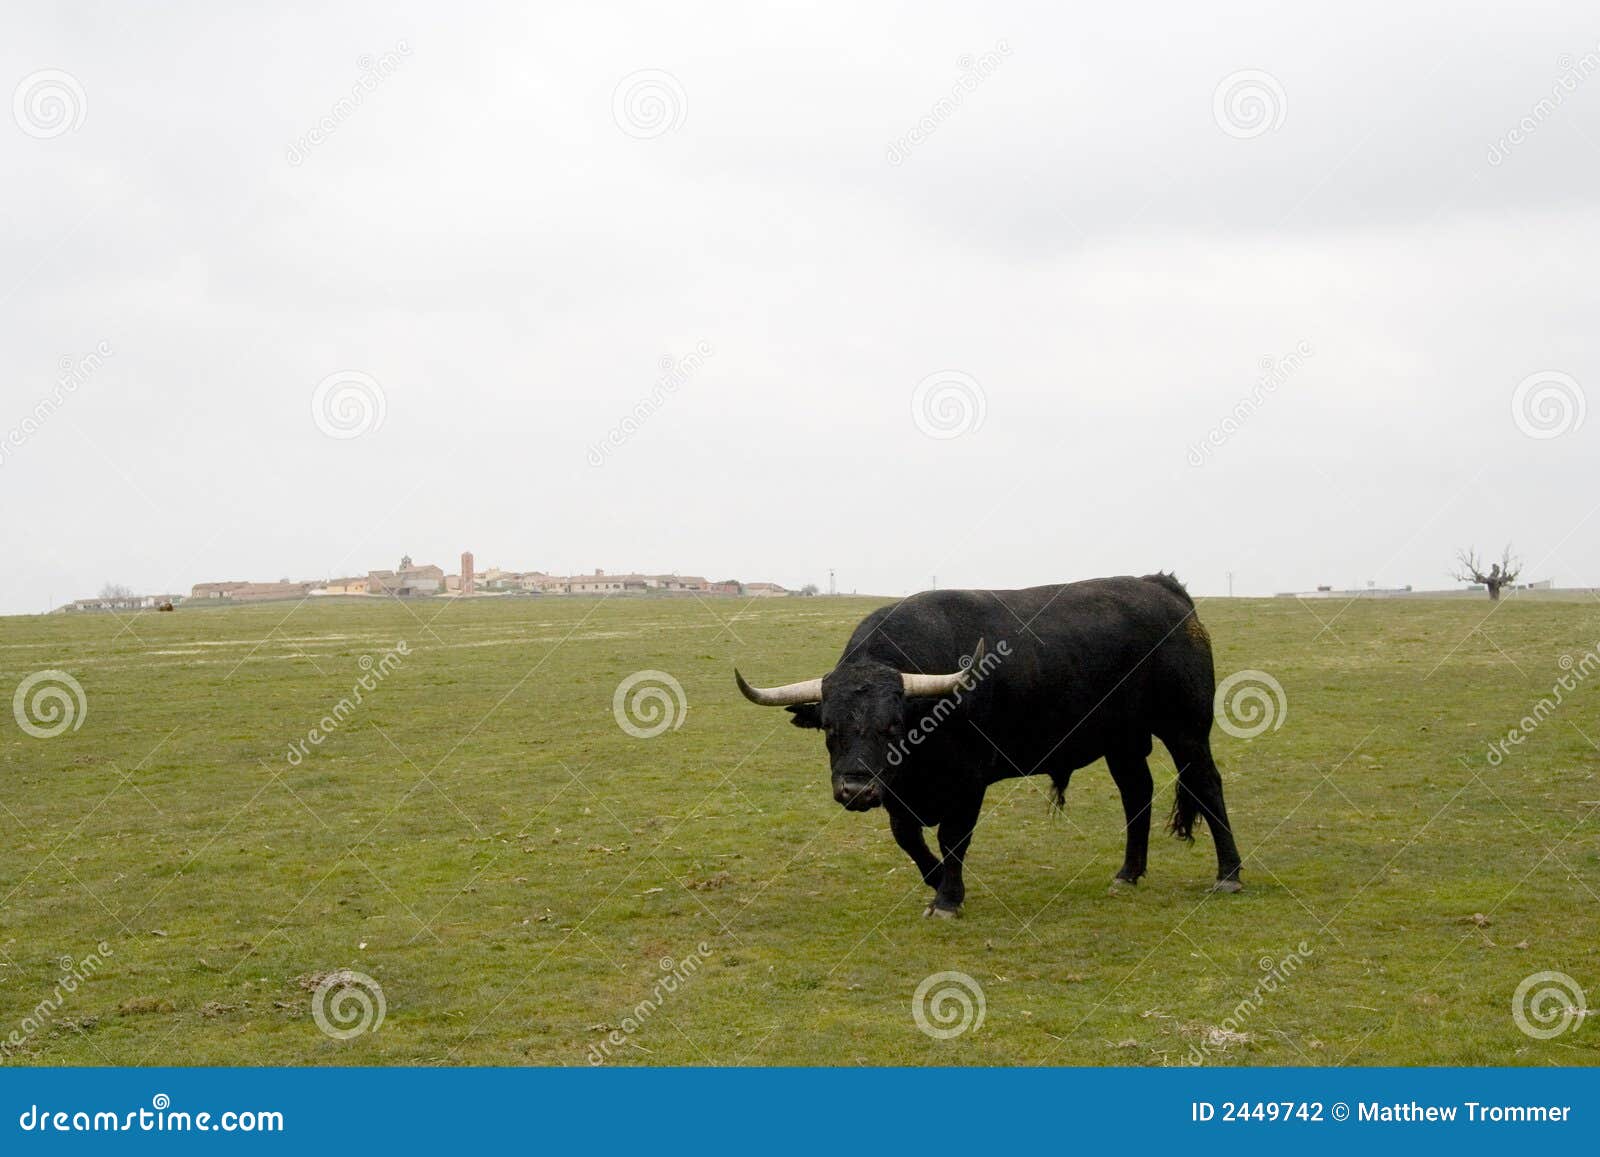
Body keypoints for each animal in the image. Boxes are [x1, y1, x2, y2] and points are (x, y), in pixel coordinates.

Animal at [734, 574, 1242, 918]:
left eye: (893, 725)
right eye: (829, 727)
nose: (855, 791)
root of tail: (1164, 588)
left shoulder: (969, 781)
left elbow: (952, 837)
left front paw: (948, 897)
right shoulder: (897, 789)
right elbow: (908, 837)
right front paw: (937, 879)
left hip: (1186, 729)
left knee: (1207, 785)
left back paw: (1229, 875)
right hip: (1123, 741)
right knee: (1137, 794)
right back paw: (1128, 874)